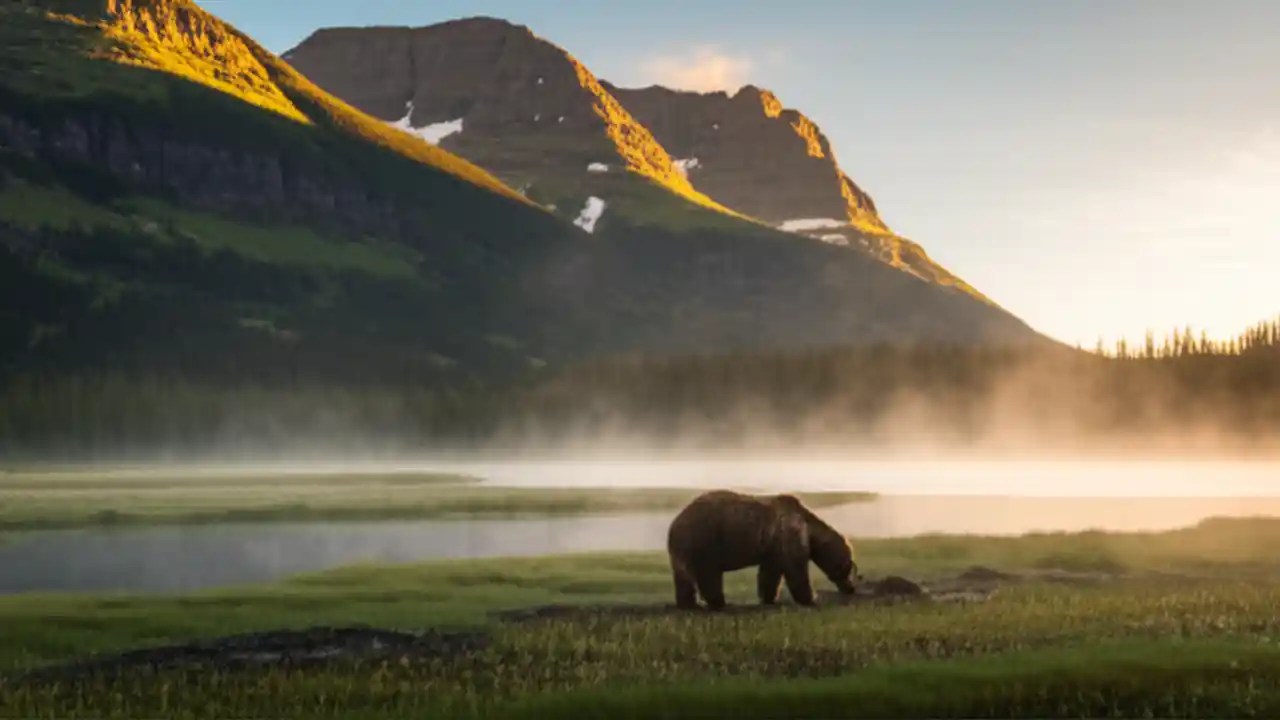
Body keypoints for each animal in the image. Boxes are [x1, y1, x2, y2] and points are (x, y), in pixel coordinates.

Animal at [666, 490, 859, 610]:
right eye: (848, 566)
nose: (851, 588)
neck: (810, 529)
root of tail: (675, 522)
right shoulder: (789, 534)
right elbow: (796, 569)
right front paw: (811, 597)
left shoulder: (773, 547)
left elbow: (770, 573)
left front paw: (768, 598)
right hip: (705, 539)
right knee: (709, 573)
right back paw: (718, 602)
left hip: (687, 547)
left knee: (684, 576)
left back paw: (689, 603)